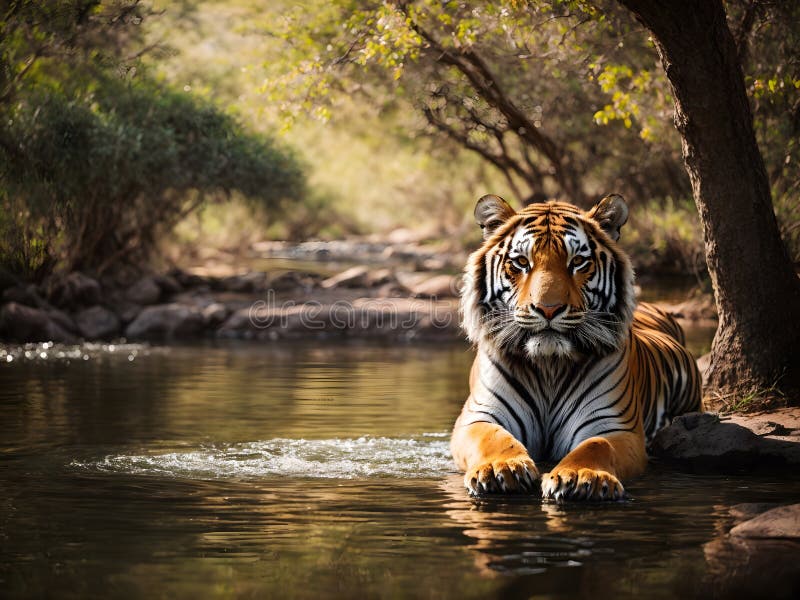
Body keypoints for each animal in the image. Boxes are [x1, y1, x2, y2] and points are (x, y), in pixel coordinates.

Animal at [451, 193, 702, 501]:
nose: (548, 308)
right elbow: (492, 438)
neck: (549, 364)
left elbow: (596, 445)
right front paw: (501, 468)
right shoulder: (479, 416)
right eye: (521, 262)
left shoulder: (615, 424)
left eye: (578, 262)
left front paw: (583, 476)